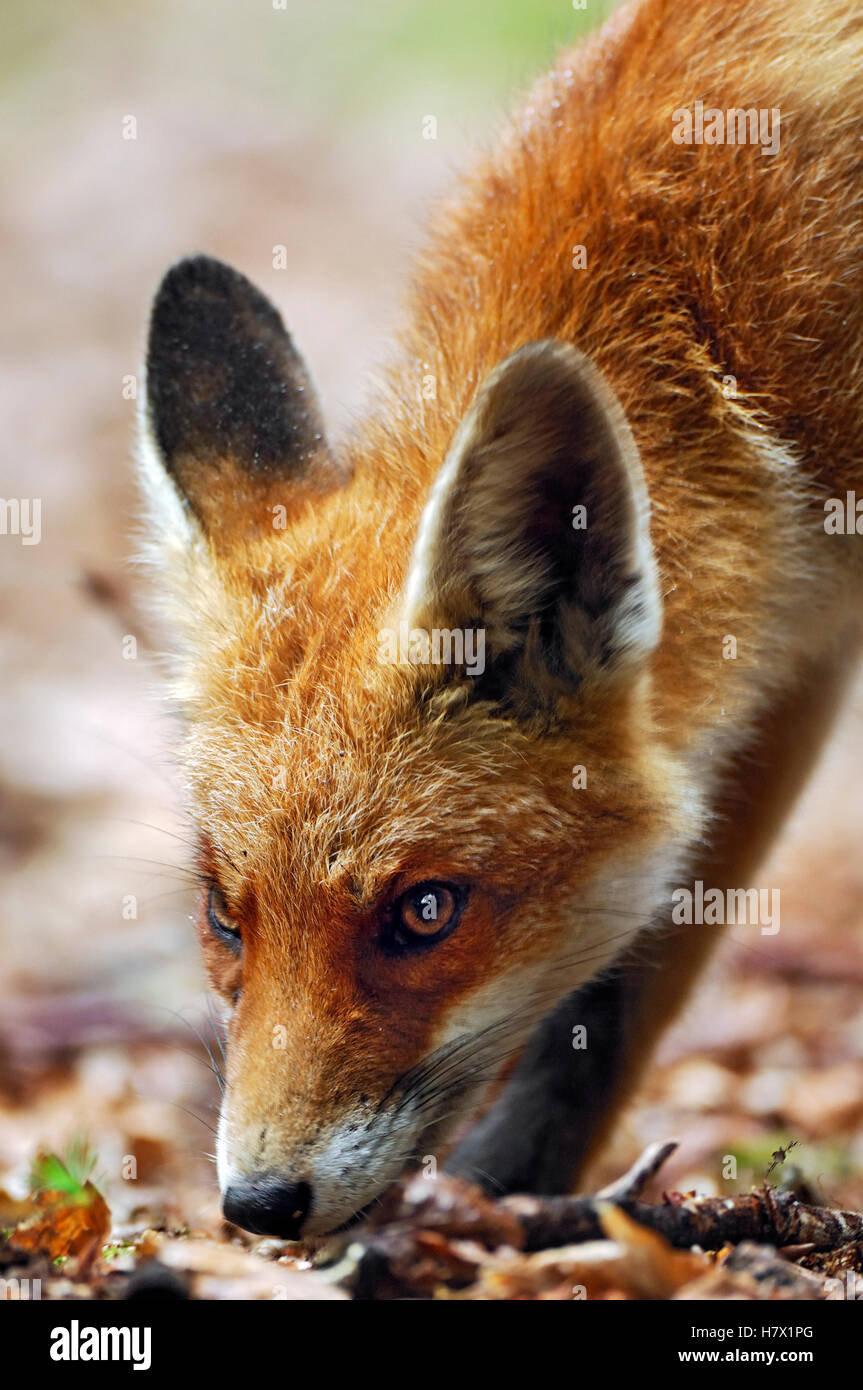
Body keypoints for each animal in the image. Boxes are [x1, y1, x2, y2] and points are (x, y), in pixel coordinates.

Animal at [138, 0, 863, 1240]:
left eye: (424, 911)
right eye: (225, 917)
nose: (258, 1205)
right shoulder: (784, 658)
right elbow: (619, 995)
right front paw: (506, 1194)